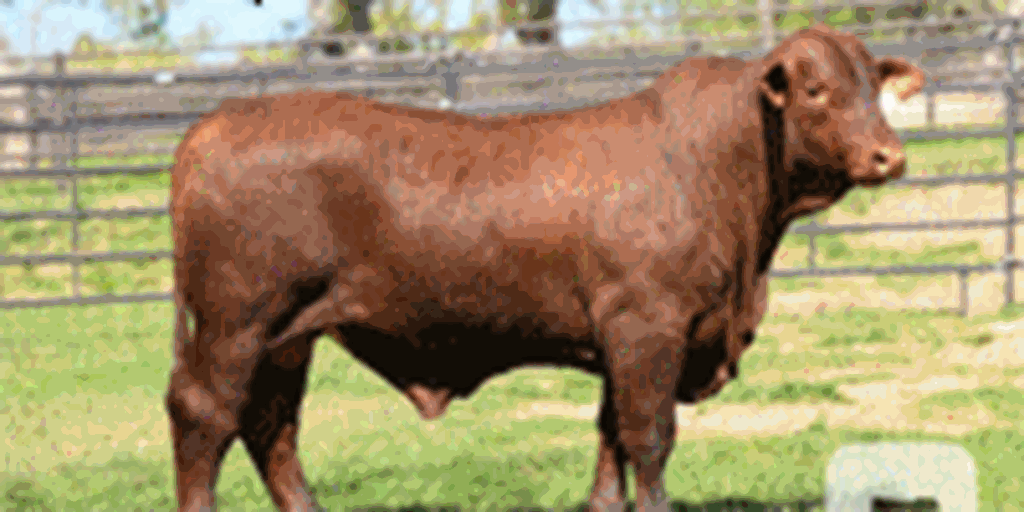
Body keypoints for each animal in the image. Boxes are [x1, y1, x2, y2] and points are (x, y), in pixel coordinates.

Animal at [165, 24, 924, 512]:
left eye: (873, 87)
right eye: (816, 90)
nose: (889, 156)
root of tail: (215, 123)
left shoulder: (625, 337)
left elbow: (611, 434)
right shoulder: (647, 325)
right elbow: (649, 437)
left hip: (289, 337)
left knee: (272, 428)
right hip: (236, 321)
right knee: (206, 416)